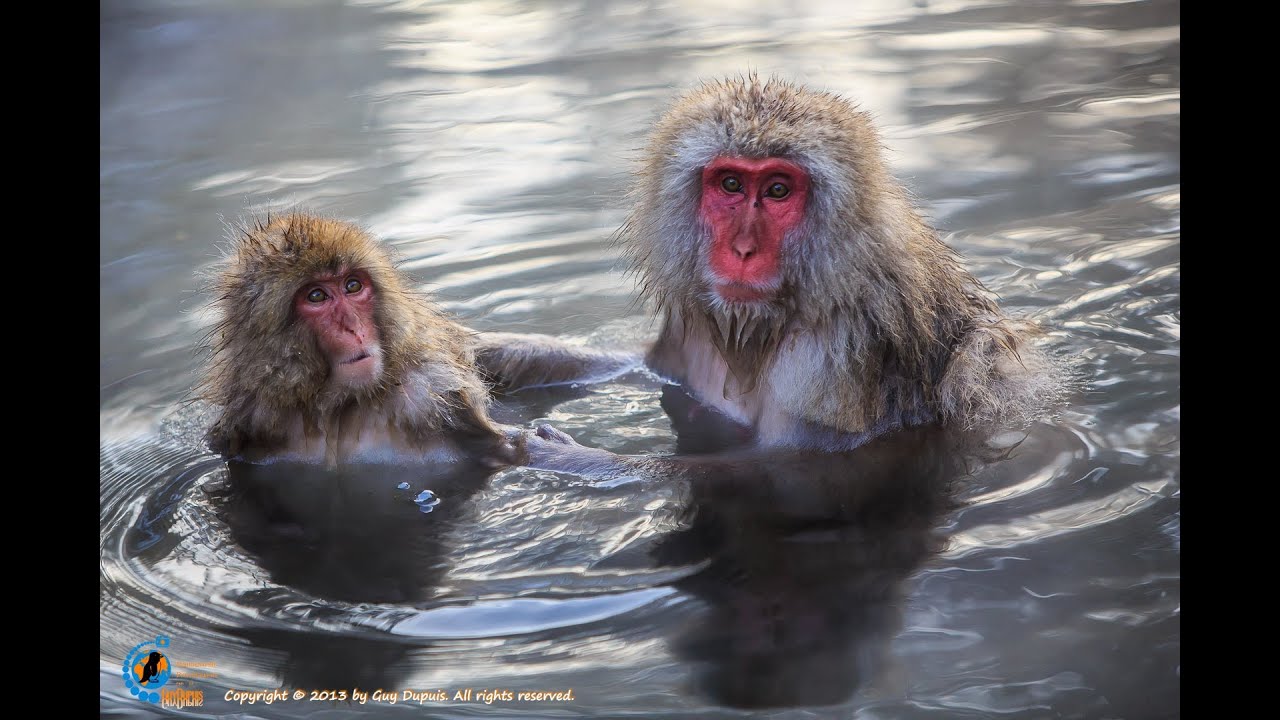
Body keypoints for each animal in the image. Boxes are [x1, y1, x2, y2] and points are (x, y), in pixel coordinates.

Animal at [488, 74, 1063, 461]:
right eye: (731, 184)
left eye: (779, 190)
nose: (742, 250)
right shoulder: (696, 311)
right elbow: (645, 366)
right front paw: (494, 350)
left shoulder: (837, 352)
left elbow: (792, 465)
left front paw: (563, 457)